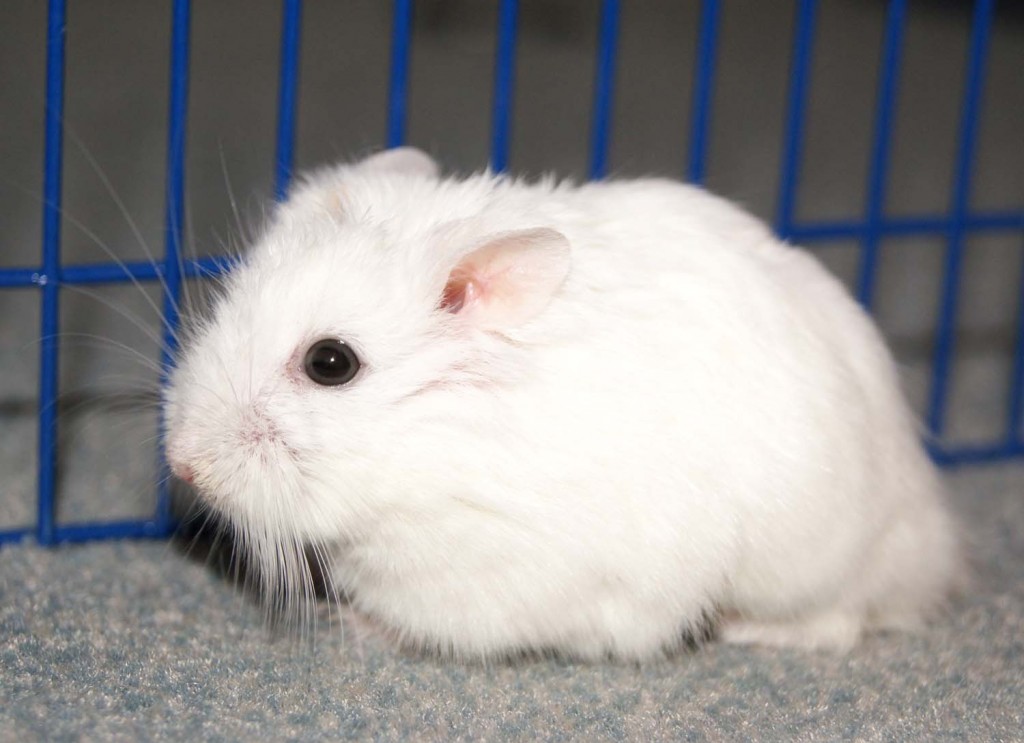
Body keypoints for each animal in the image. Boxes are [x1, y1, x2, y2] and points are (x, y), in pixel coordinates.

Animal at [164, 147, 962, 661]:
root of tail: (926, 532)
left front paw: (350, 623)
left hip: (811, 563)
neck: (429, 447)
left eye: (330, 363)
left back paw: (743, 630)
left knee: (839, 624)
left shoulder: (481, 580)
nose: (180, 465)